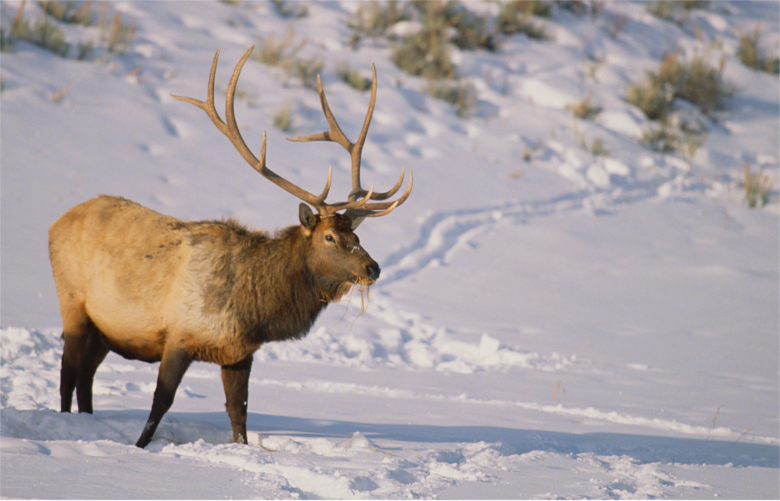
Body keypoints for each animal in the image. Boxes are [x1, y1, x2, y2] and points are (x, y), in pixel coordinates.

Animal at [48, 46, 412, 449]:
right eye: (330, 237)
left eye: (357, 238)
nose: (372, 268)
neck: (254, 309)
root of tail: (57, 222)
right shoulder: (179, 335)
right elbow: (160, 403)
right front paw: (140, 447)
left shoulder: (240, 353)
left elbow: (239, 412)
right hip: (73, 300)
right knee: (68, 372)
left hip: (106, 328)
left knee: (86, 375)